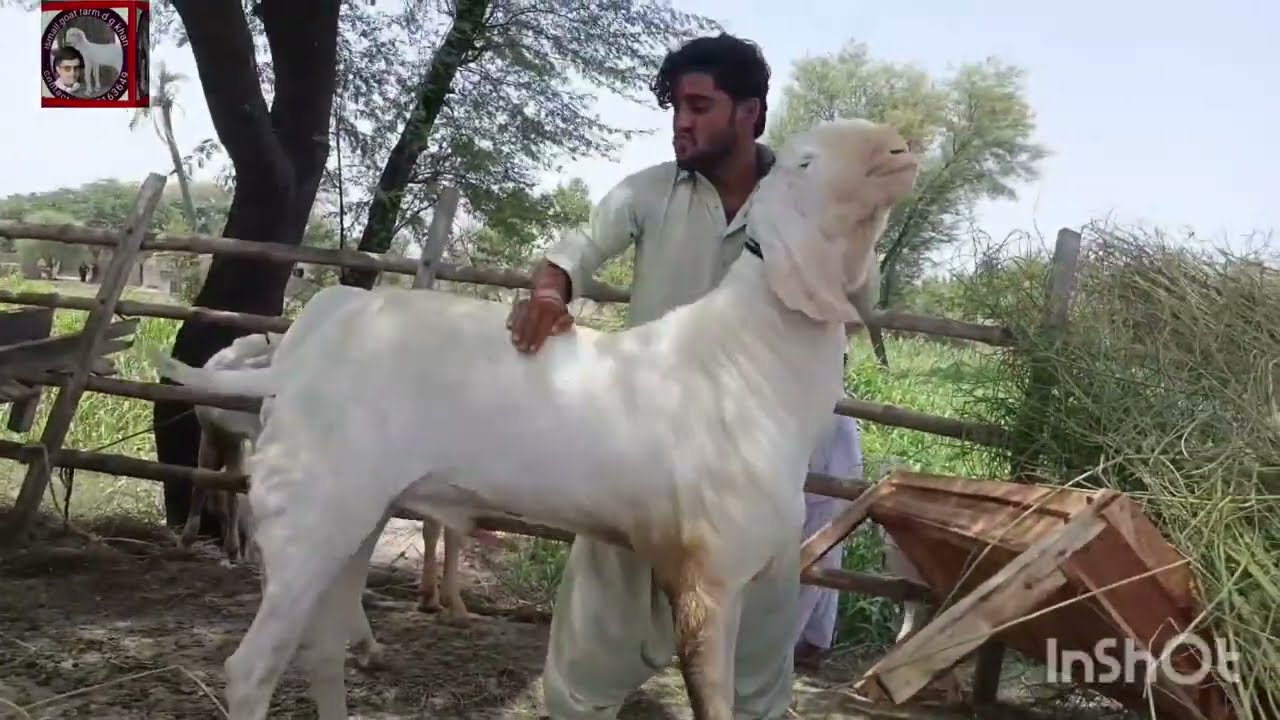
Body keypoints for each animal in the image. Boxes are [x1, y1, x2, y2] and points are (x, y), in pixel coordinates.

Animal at [157, 117, 919, 720]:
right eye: (805, 161)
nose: (900, 148)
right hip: (311, 518)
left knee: (321, 649)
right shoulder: (709, 580)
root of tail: (300, 352)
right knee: (252, 668)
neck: (750, 356)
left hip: (357, 521)